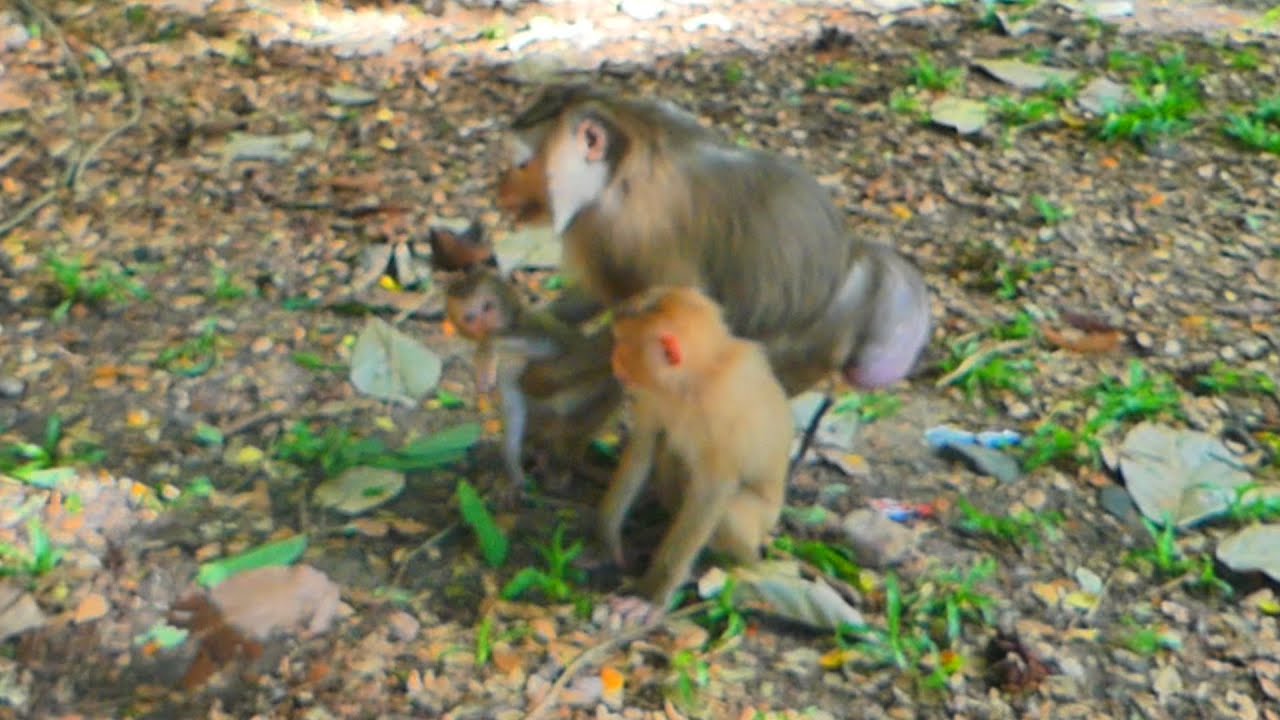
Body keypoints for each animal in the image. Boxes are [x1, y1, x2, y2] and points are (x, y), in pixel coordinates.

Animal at [445, 267, 621, 504]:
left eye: (488, 306)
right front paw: (513, 472)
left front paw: (487, 347)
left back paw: (565, 465)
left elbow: (560, 350)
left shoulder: (531, 328)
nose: (487, 325)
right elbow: (513, 409)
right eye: (470, 317)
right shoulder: (505, 369)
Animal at [598, 286, 793, 615]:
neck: (696, 380)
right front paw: (608, 535)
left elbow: (712, 492)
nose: (613, 360)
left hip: (762, 520)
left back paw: (736, 565)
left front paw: (652, 594)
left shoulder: (721, 412)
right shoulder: (653, 394)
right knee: (671, 456)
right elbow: (643, 447)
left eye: (622, 343)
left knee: (728, 514)